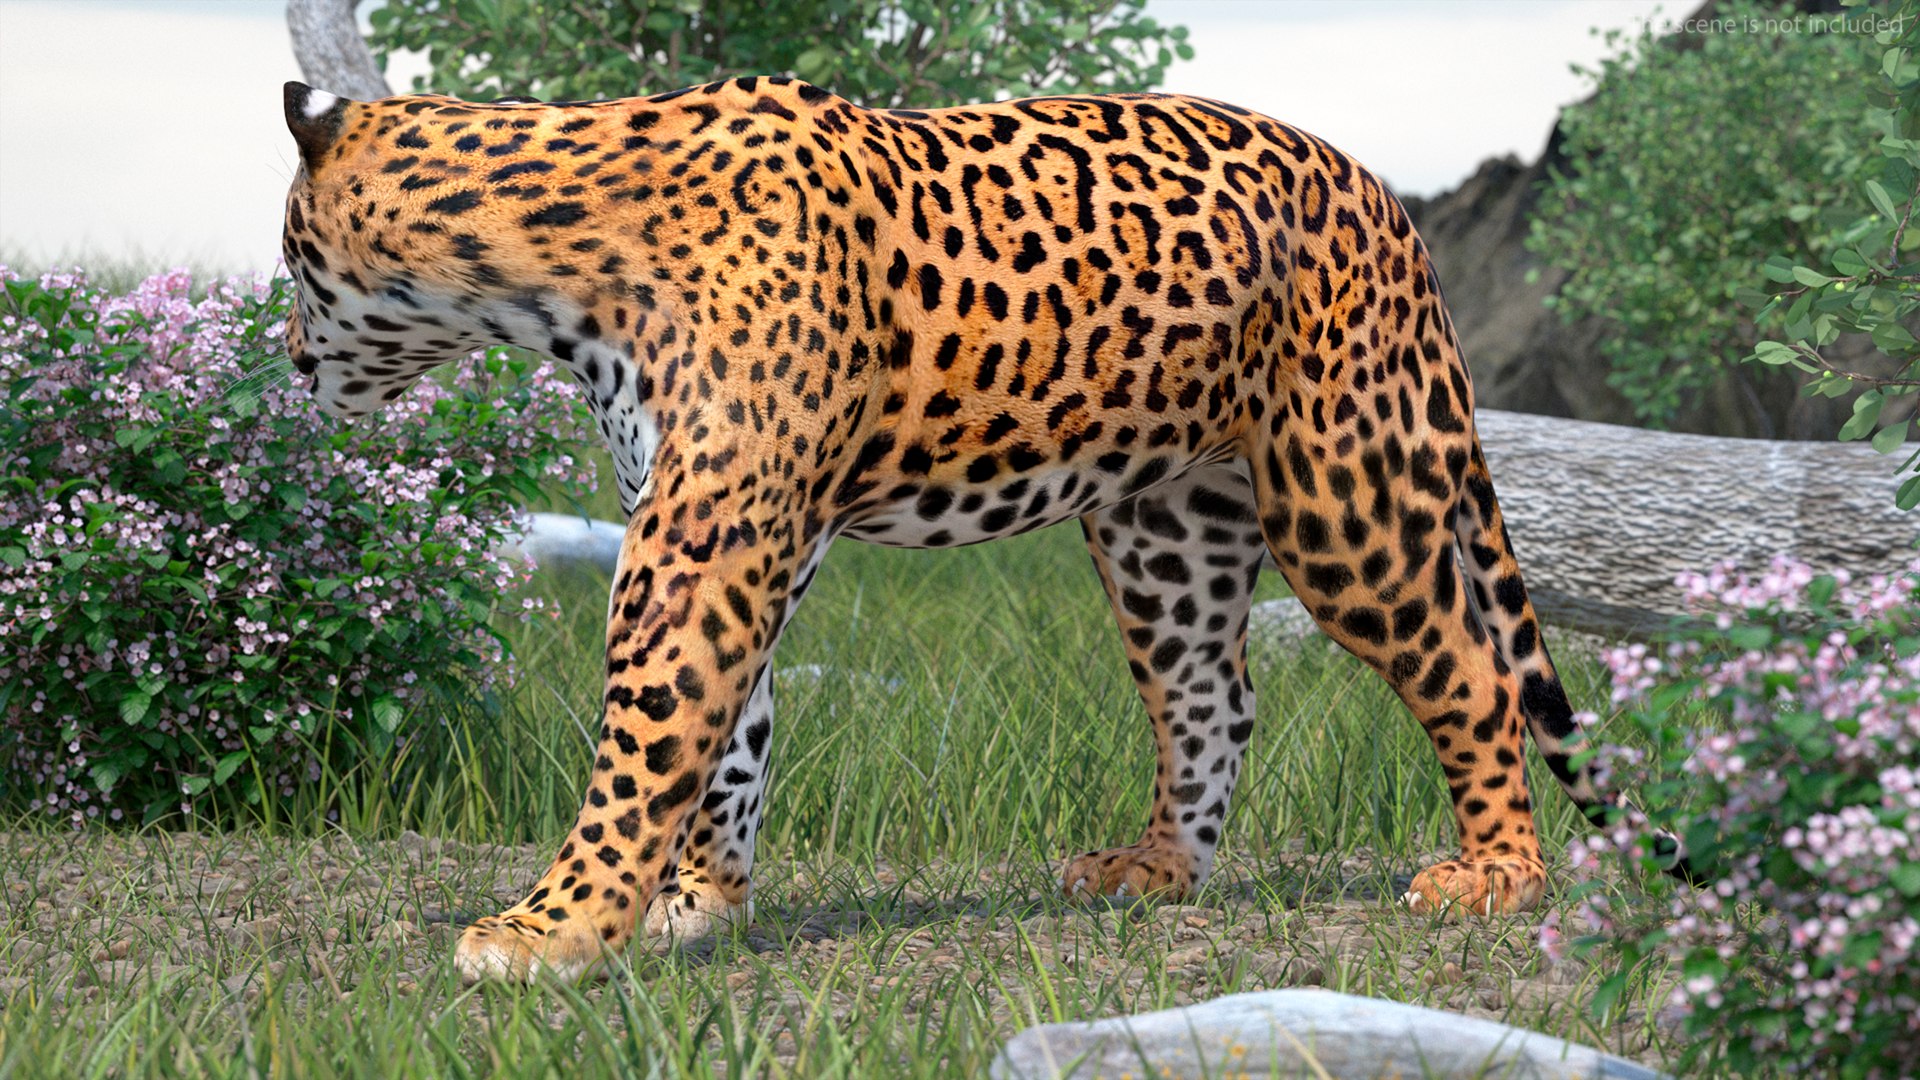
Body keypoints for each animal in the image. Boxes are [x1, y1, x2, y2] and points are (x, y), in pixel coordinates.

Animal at [278, 76, 1697, 983]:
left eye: (291, 257)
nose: (290, 366)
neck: (547, 267)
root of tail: (1391, 204)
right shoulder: (714, 525)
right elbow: (733, 736)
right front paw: (699, 904)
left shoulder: (703, 543)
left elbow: (653, 732)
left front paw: (552, 932)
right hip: (1168, 526)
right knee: (1214, 696)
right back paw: (1157, 872)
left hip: (1343, 494)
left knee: (1467, 668)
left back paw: (1497, 876)